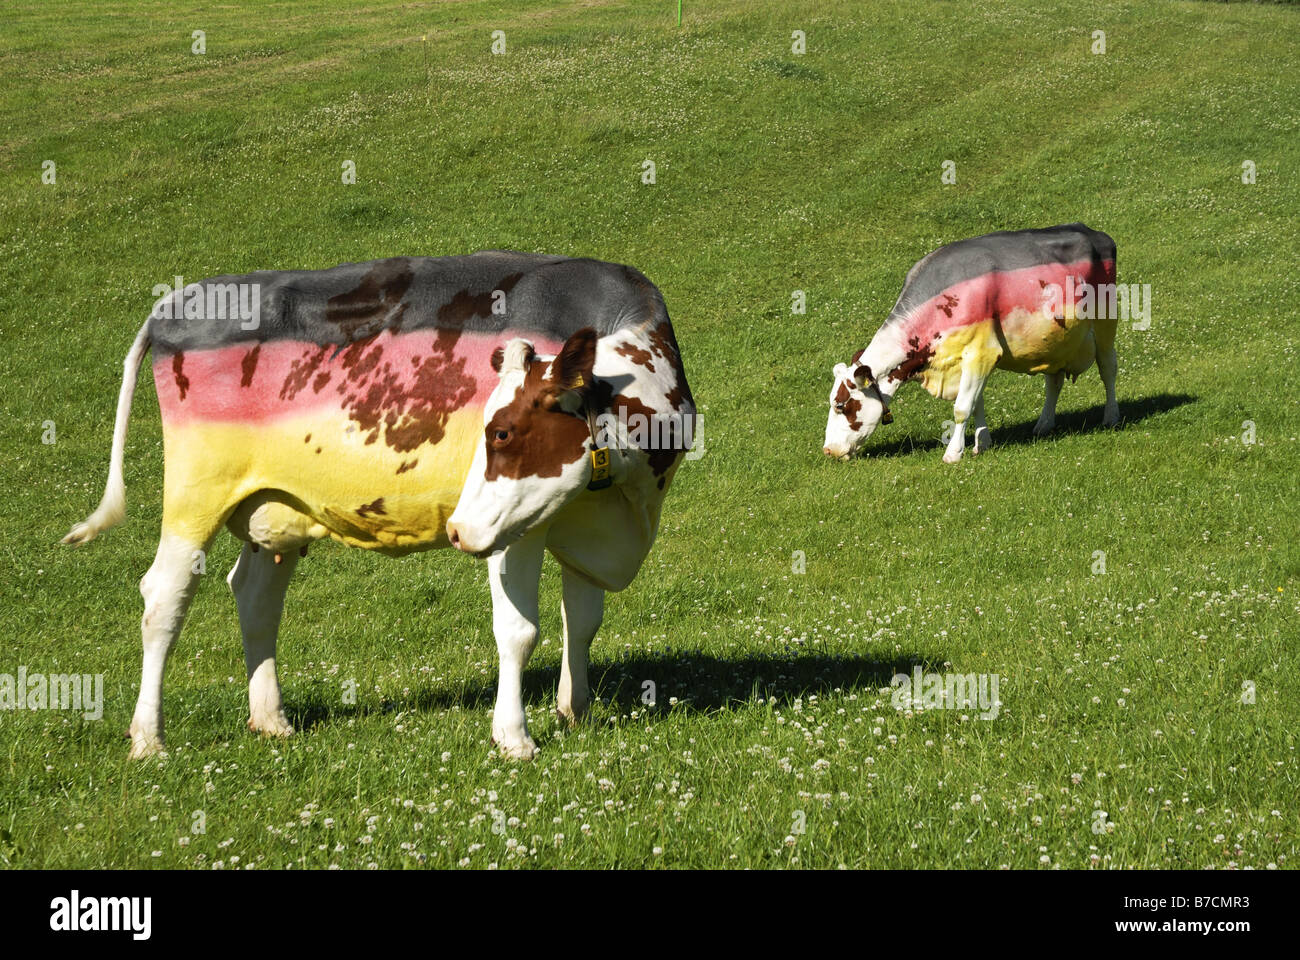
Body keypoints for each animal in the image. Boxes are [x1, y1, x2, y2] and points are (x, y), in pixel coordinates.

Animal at [62, 252, 695, 760]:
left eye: (503, 433)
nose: (458, 530)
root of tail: (174, 303)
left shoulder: (581, 519)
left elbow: (582, 621)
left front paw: (575, 711)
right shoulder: (513, 527)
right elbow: (519, 630)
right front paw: (514, 737)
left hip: (274, 507)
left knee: (255, 596)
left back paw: (271, 720)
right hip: (198, 492)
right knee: (164, 596)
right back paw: (149, 740)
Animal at [823, 223, 1119, 463]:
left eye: (840, 406)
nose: (828, 450)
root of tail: (1094, 232)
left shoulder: (982, 353)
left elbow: (962, 407)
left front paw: (954, 453)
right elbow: (977, 402)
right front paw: (982, 443)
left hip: (1105, 323)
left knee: (1108, 369)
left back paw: (1111, 418)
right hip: (1055, 342)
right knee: (1053, 381)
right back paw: (1044, 424)